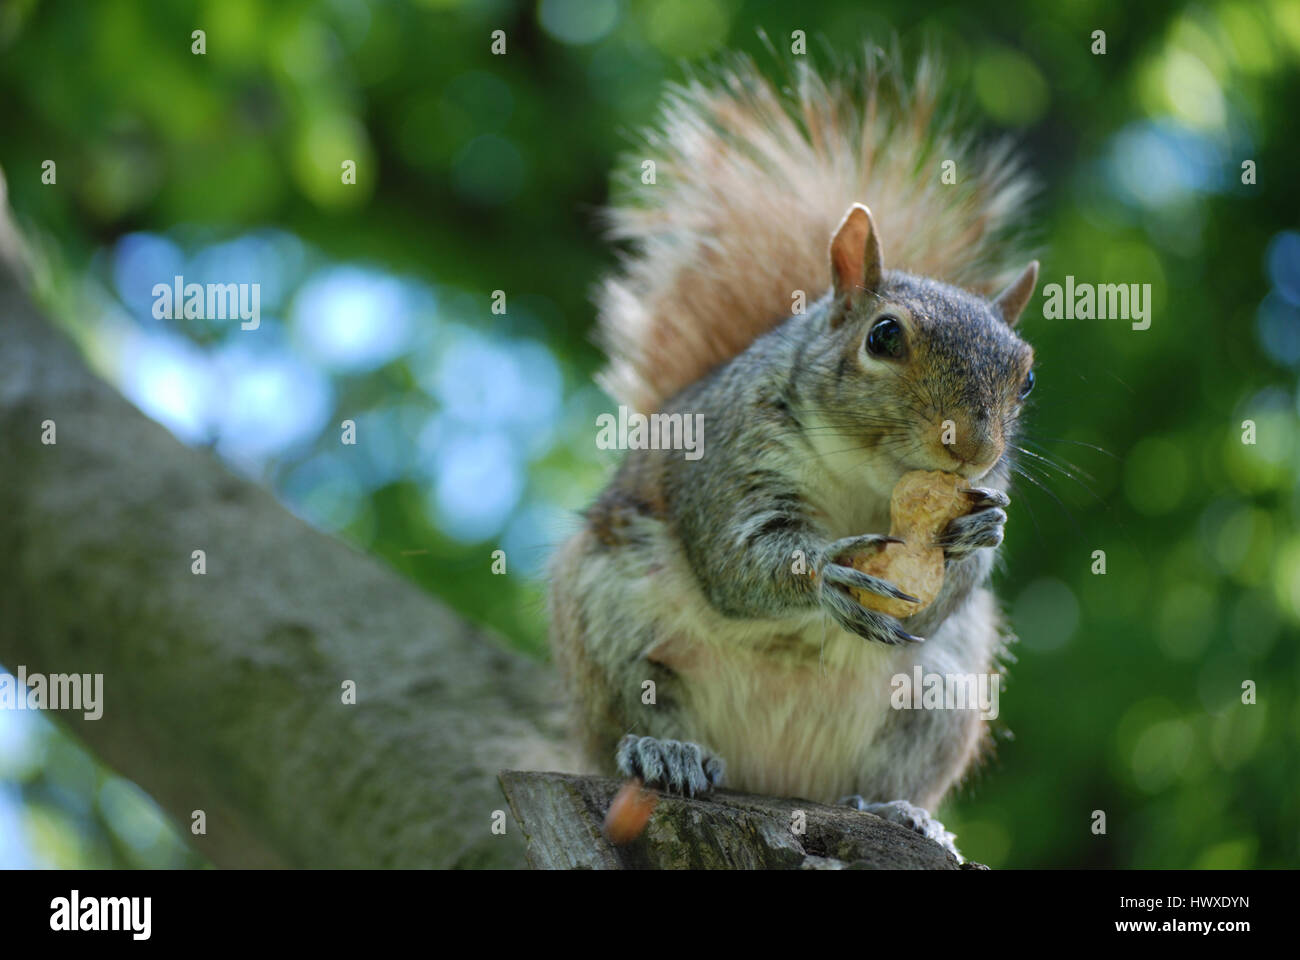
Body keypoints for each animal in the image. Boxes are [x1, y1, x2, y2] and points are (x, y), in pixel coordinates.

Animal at [549, 49, 1040, 859]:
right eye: (883, 336)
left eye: (1027, 376)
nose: (972, 448)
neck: (869, 479)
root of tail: (776, 779)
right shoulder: (731, 459)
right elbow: (740, 556)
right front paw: (827, 573)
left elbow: (952, 588)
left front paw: (978, 533)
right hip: (610, 616)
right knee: (636, 710)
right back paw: (665, 752)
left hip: (940, 694)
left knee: (886, 771)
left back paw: (903, 812)